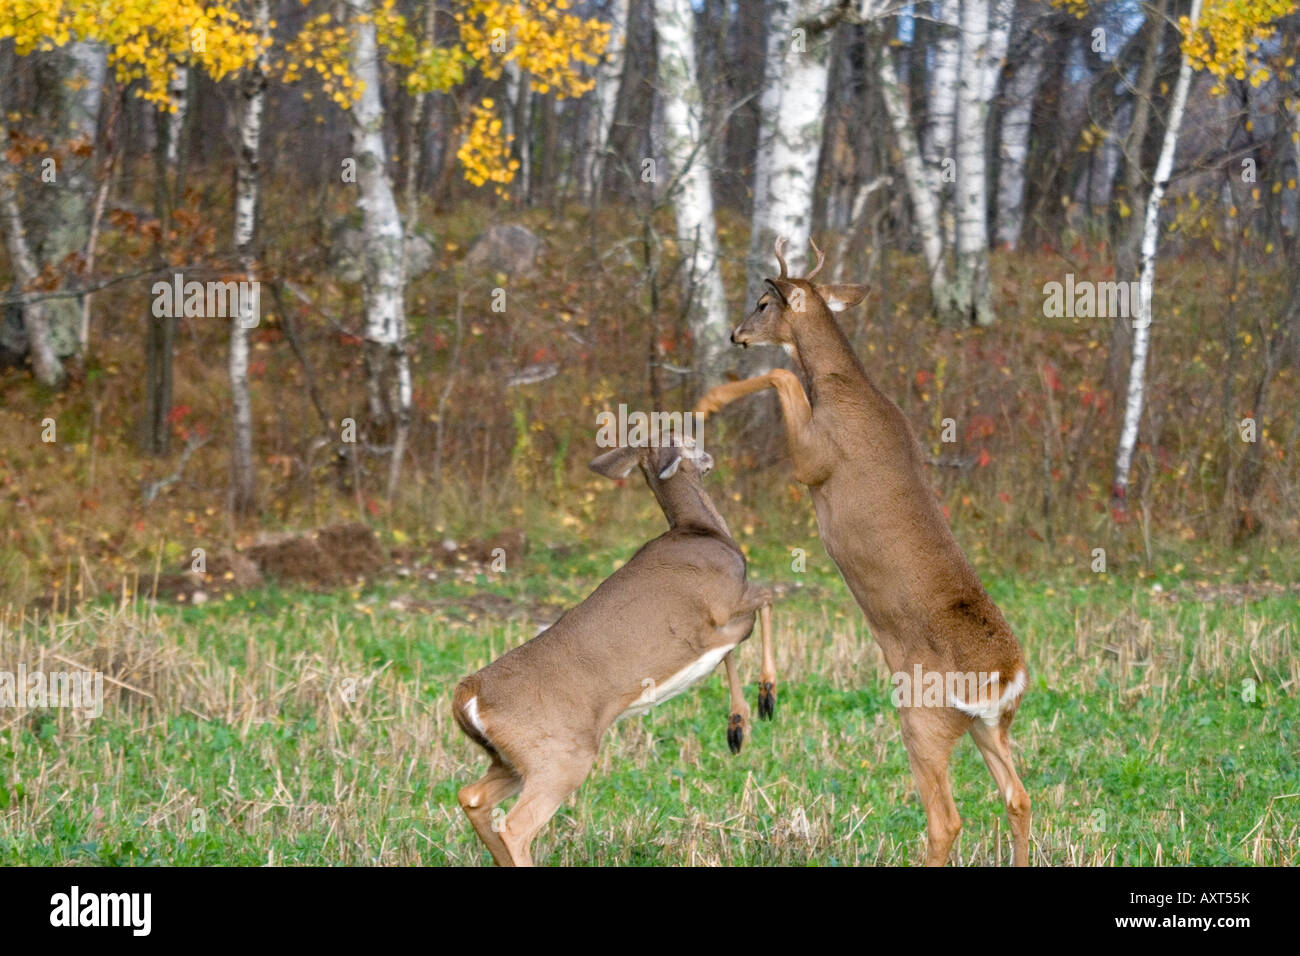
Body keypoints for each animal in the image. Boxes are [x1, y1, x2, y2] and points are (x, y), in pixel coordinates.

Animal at [452, 431, 776, 866]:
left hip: (513, 759)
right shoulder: (723, 606)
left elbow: (735, 645)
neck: (703, 530)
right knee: (515, 826)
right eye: (689, 440)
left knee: (472, 797)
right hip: (562, 756)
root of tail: (468, 695)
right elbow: (767, 600)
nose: (710, 457)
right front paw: (765, 698)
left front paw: (737, 726)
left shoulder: (718, 627)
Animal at [695, 237, 1031, 866]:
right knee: (1018, 798)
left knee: (947, 820)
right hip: (989, 726)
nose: (734, 335)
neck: (844, 389)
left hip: (923, 716)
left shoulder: (815, 459)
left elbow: (782, 375)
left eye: (762, 302)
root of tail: (1007, 676)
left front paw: (709, 400)